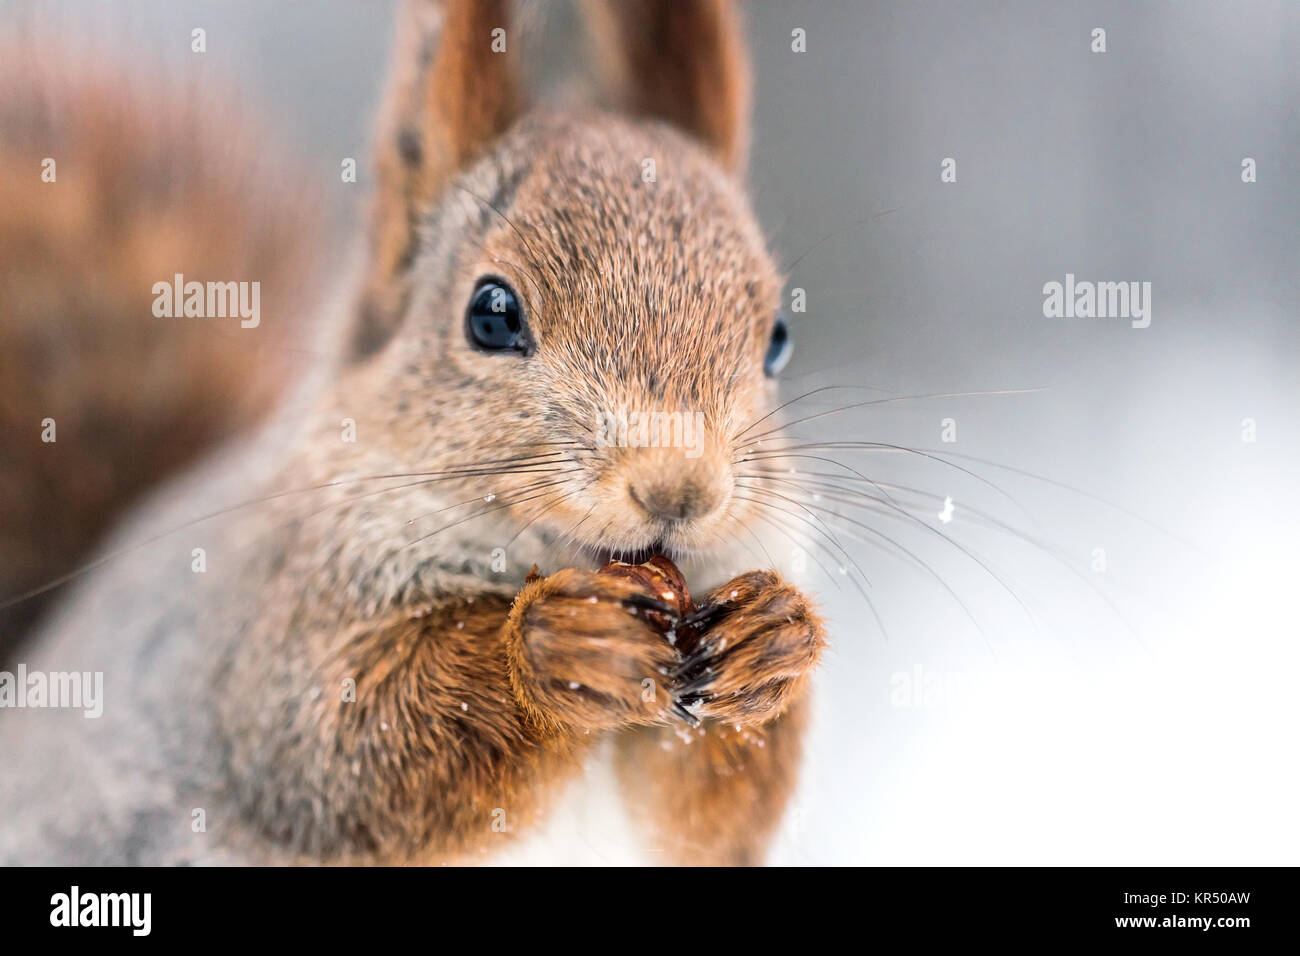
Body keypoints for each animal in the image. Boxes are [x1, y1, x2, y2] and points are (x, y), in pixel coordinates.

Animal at [0, 0, 827, 866]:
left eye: (778, 338)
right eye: (491, 315)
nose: (680, 489)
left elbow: (712, 812)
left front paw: (774, 640)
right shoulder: (267, 634)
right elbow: (351, 741)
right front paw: (552, 644)